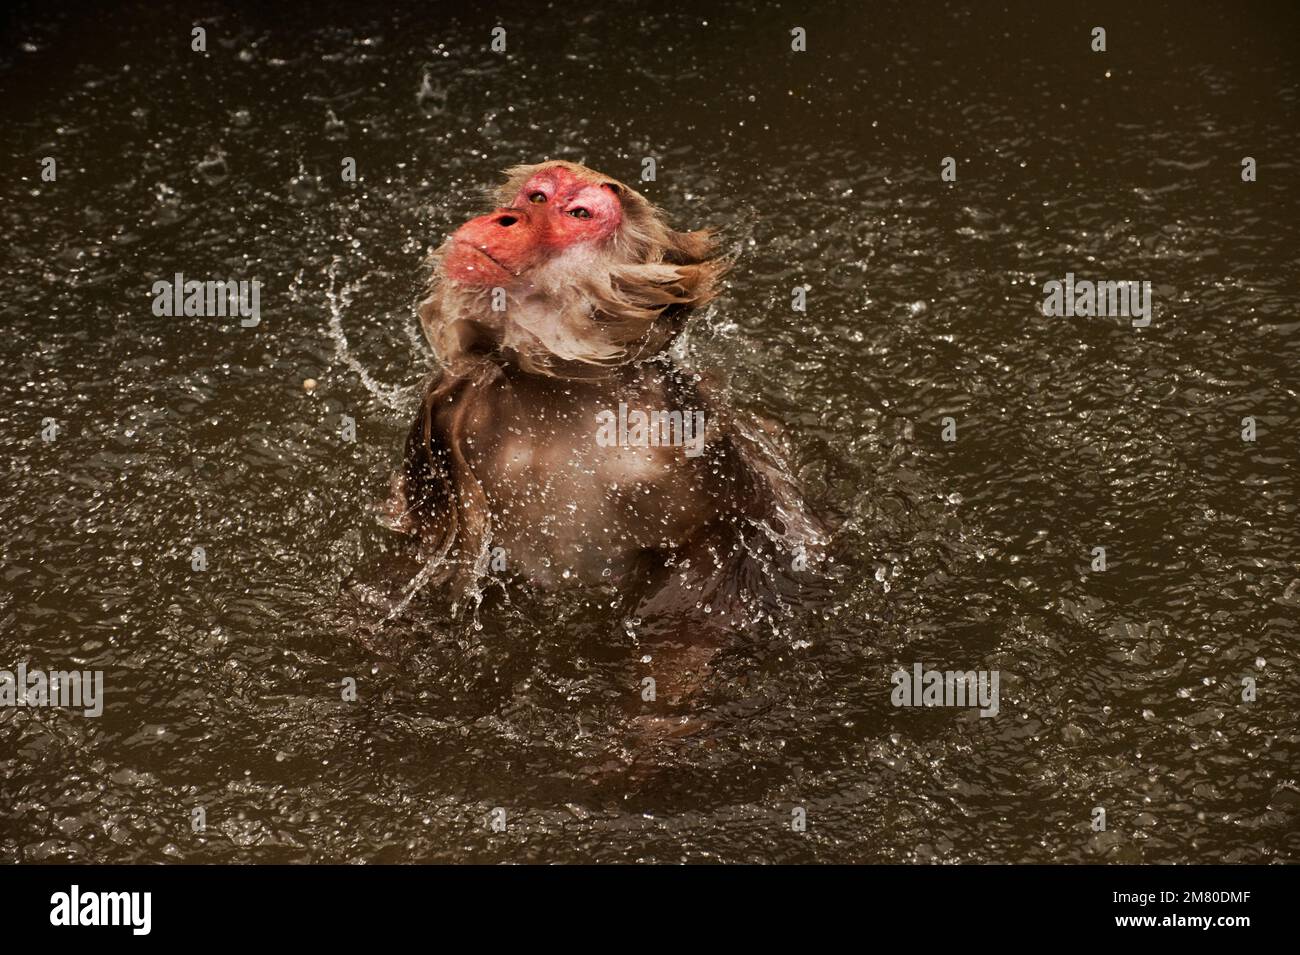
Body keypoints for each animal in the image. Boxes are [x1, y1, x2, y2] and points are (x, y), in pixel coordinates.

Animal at [382, 160, 827, 716]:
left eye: (578, 214)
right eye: (537, 197)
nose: (508, 218)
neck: (554, 385)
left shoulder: (684, 446)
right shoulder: (447, 403)